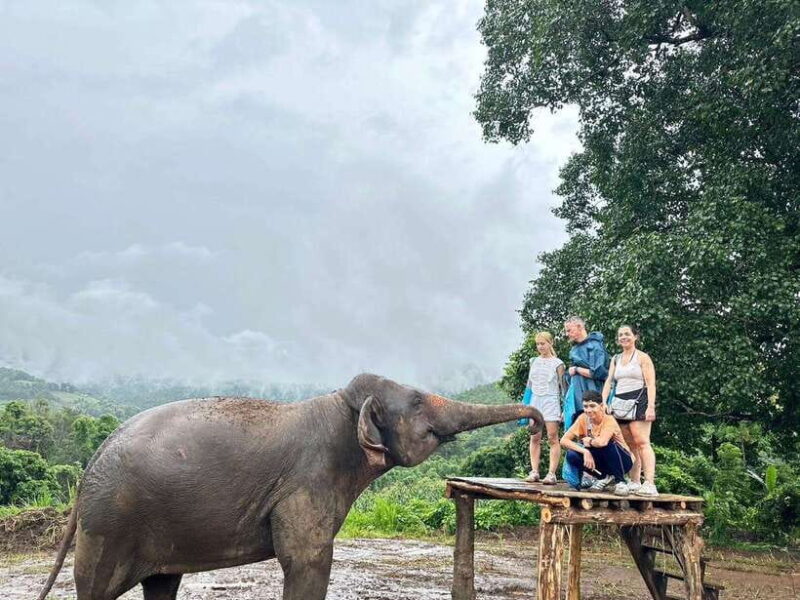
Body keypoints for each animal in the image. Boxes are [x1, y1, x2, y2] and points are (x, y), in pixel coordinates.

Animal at [37, 373, 543, 600]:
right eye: (418, 400)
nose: (538, 424)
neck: (339, 407)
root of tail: (90, 464)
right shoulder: (307, 484)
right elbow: (306, 561)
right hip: (109, 523)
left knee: (162, 583)